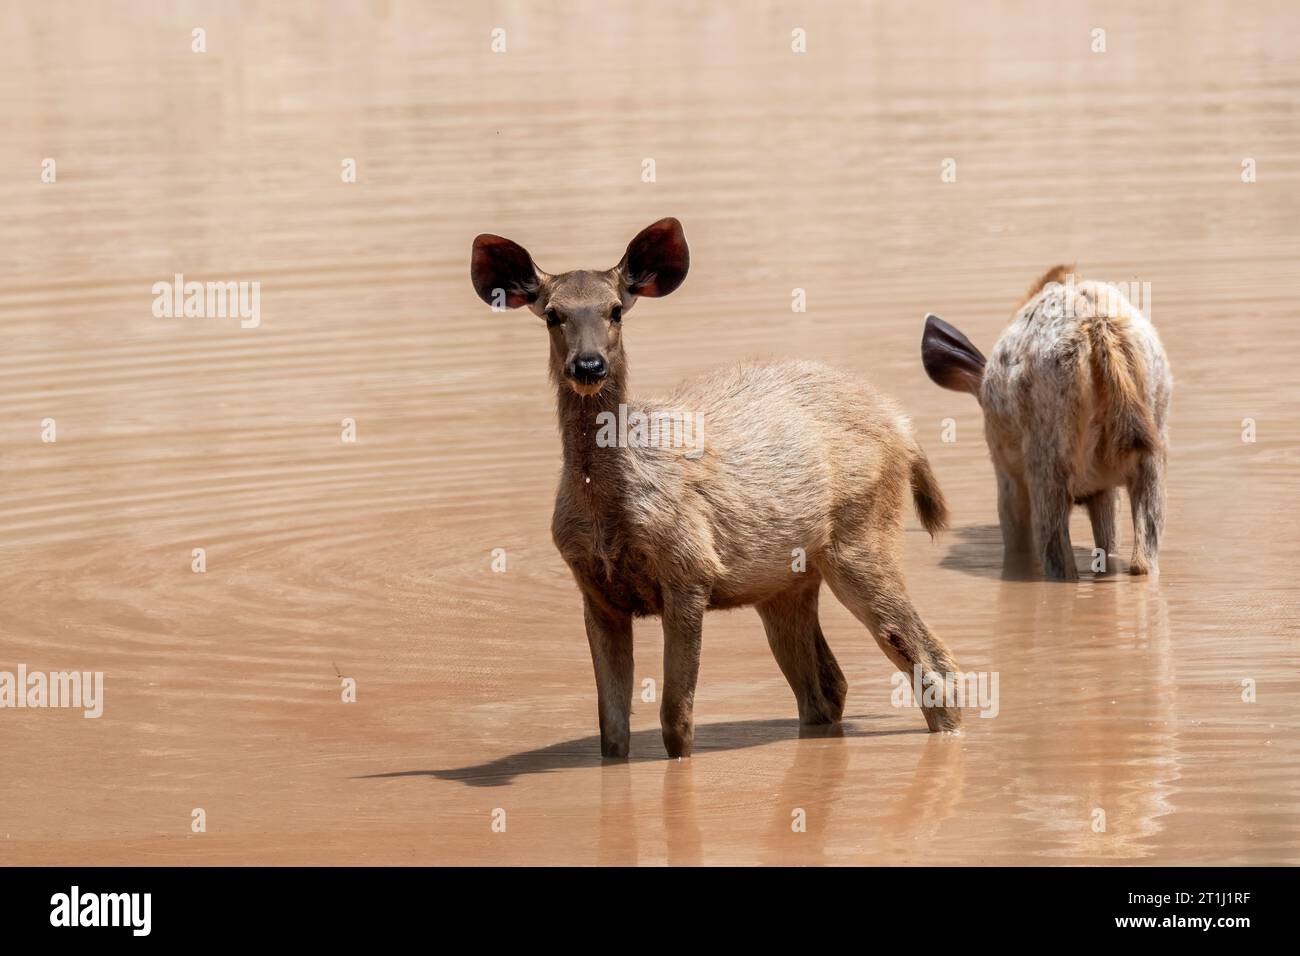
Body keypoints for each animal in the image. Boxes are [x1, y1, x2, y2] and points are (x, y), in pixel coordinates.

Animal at [471, 218, 962, 759]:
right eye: (552, 315)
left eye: (616, 309)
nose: (588, 365)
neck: (610, 511)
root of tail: (903, 426)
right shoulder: (594, 589)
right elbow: (612, 731)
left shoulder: (690, 568)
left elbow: (676, 719)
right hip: (785, 581)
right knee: (826, 686)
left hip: (861, 537)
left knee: (929, 658)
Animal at [921, 266, 1172, 581]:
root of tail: (1097, 324)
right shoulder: (1104, 487)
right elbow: (1109, 545)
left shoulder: (1006, 469)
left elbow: (1015, 538)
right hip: (1151, 454)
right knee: (1143, 557)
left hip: (1046, 462)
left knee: (1057, 558)